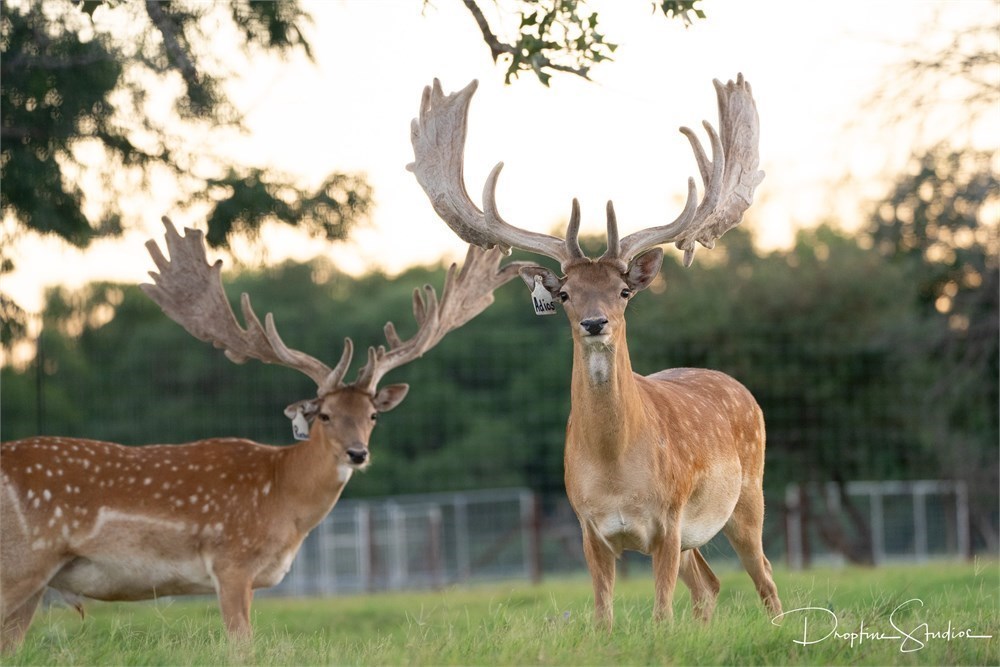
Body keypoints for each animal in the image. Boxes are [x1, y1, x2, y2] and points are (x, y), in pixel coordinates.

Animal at [0, 216, 525, 652]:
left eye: (373, 415)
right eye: (324, 414)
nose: (357, 454)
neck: (281, 498)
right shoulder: (230, 561)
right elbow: (241, 646)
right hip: (23, 561)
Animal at [407, 77, 782, 628]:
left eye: (623, 291)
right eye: (564, 294)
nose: (594, 322)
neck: (614, 471)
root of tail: (740, 388)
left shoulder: (669, 518)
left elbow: (661, 615)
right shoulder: (588, 527)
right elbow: (603, 616)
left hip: (747, 496)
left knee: (766, 577)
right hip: (700, 533)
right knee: (710, 585)